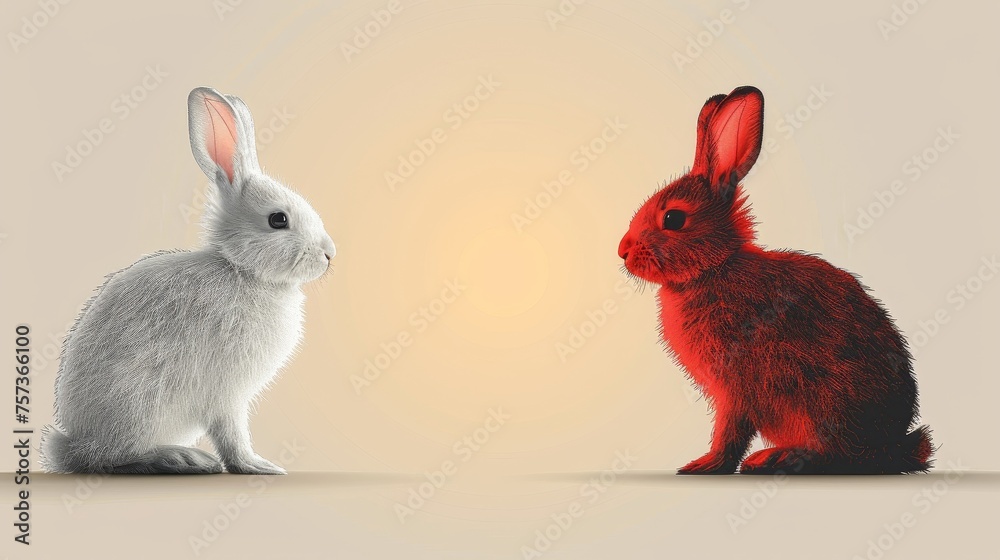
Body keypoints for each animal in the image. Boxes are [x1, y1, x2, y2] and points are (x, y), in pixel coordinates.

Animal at [41, 87, 335, 474]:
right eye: (278, 219)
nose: (330, 254)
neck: (240, 268)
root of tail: (74, 445)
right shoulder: (227, 393)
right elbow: (231, 434)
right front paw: (257, 466)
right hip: (141, 404)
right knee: (115, 457)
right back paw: (182, 458)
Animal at [618, 86, 932, 474]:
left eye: (673, 218)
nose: (622, 251)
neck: (715, 267)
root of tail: (890, 448)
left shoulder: (736, 387)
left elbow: (730, 430)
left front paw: (705, 466)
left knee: (833, 454)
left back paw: (774, 458)